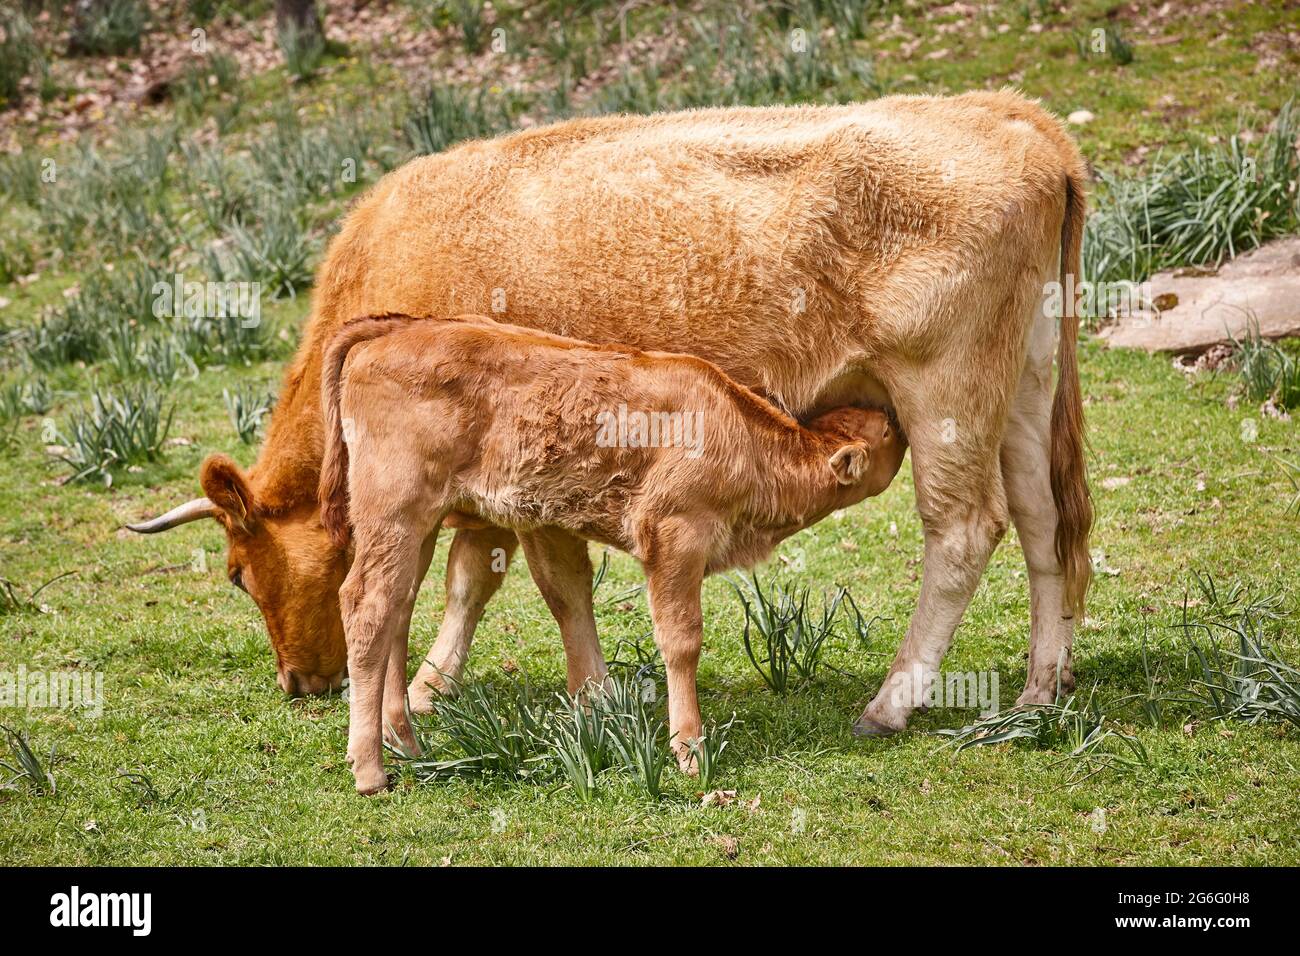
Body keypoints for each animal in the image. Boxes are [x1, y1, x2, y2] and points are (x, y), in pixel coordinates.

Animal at [127, 90, 1092, 742]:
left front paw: (451, 687)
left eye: (238, 575)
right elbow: (490, 575)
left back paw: (891, 703)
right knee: (1044, 521)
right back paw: (1040, 689)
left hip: (945, 393)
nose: (301, 681)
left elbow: (512, 577)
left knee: (964, 529)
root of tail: (1011, 118)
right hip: (1022, 384)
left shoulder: (501, 475)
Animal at [316, 313, 907, 792]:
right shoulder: (675, 537)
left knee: (398, 609)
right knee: (367, 606)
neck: (743, 436)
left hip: (417, 525)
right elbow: (681, 640)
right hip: (393, 514)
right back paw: (369, 770)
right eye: (885, 431)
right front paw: (689, 751)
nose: (900, 420)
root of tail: (395, 331)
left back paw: (406, 743)